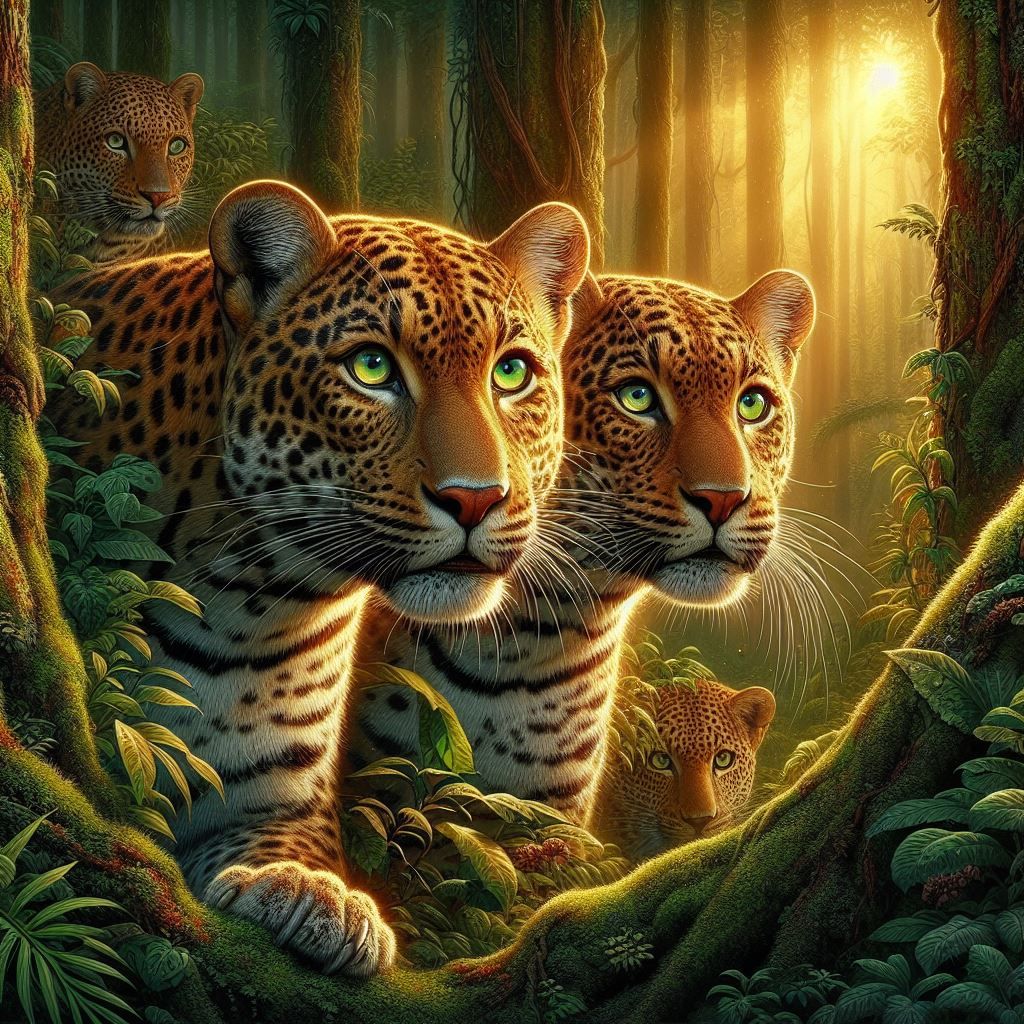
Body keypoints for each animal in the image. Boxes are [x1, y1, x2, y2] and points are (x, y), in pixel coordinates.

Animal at [50, 179, 590, 975]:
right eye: (370, 368)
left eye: (512, 373)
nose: (476, 499)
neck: (250, 597)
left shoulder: (272, 798)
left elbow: (293, 843)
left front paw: (317, 895)